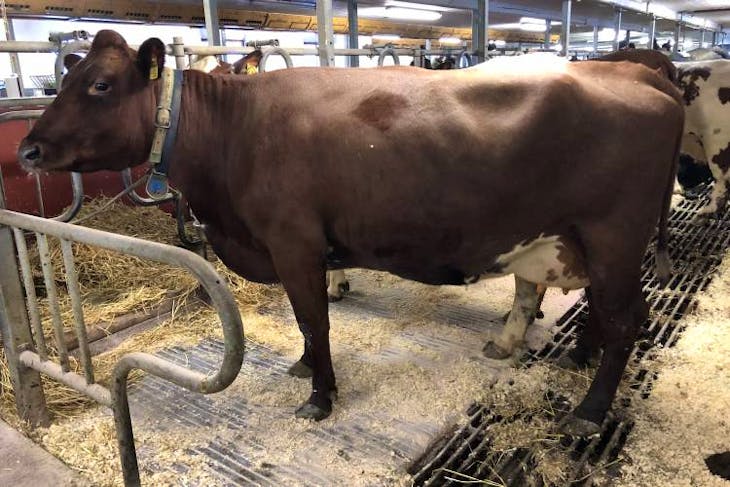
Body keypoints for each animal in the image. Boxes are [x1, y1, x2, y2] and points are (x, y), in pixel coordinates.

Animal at [18, 31, 683, 436]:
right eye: (67, 80)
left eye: (100, 85)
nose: (26, 150)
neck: (236, 129)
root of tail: (643, 80)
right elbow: (302, 320)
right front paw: (304, 367)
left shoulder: (294, 242)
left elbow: (315, 318)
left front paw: (320, 396)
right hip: (587, 242)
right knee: (603, 310)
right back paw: (577, 357)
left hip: (615, 235)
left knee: (628, 319)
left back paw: (590, 411)